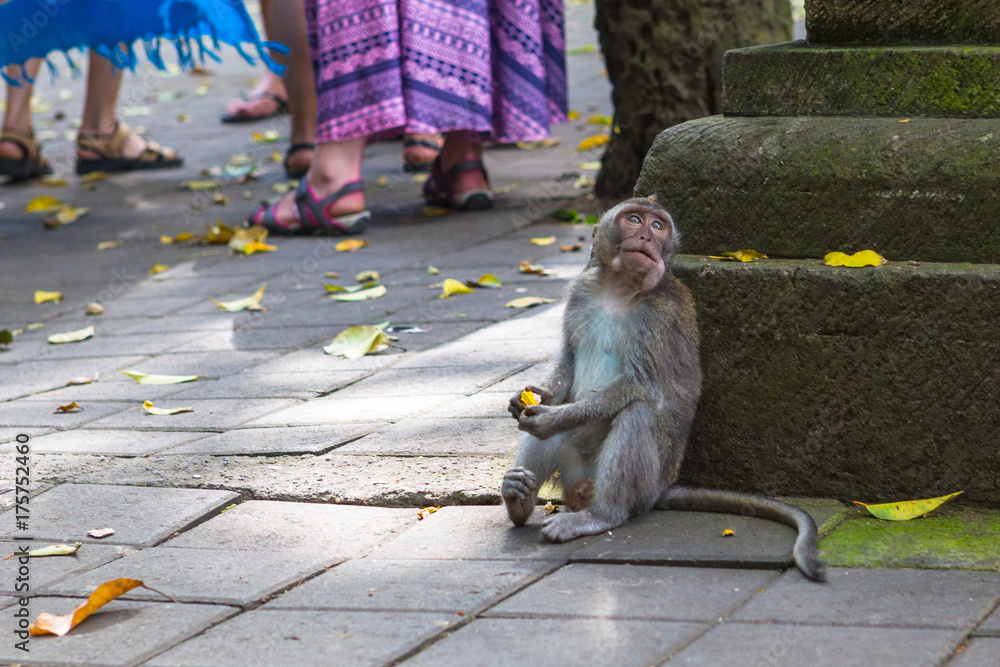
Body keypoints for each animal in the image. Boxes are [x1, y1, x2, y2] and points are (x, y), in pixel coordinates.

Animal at [501, 197, 825, 582]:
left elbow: (640, 386)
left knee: (638, 415)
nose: (645, 236)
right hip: (574, 469)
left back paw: (599, 516)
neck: (618, 290)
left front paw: (551, 417)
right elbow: (567, 360)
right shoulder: (581, 292)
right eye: (634, 219)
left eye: (658, 227)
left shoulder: (659, 315)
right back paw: (519, 499)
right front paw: (532, 399)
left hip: (646, 482)